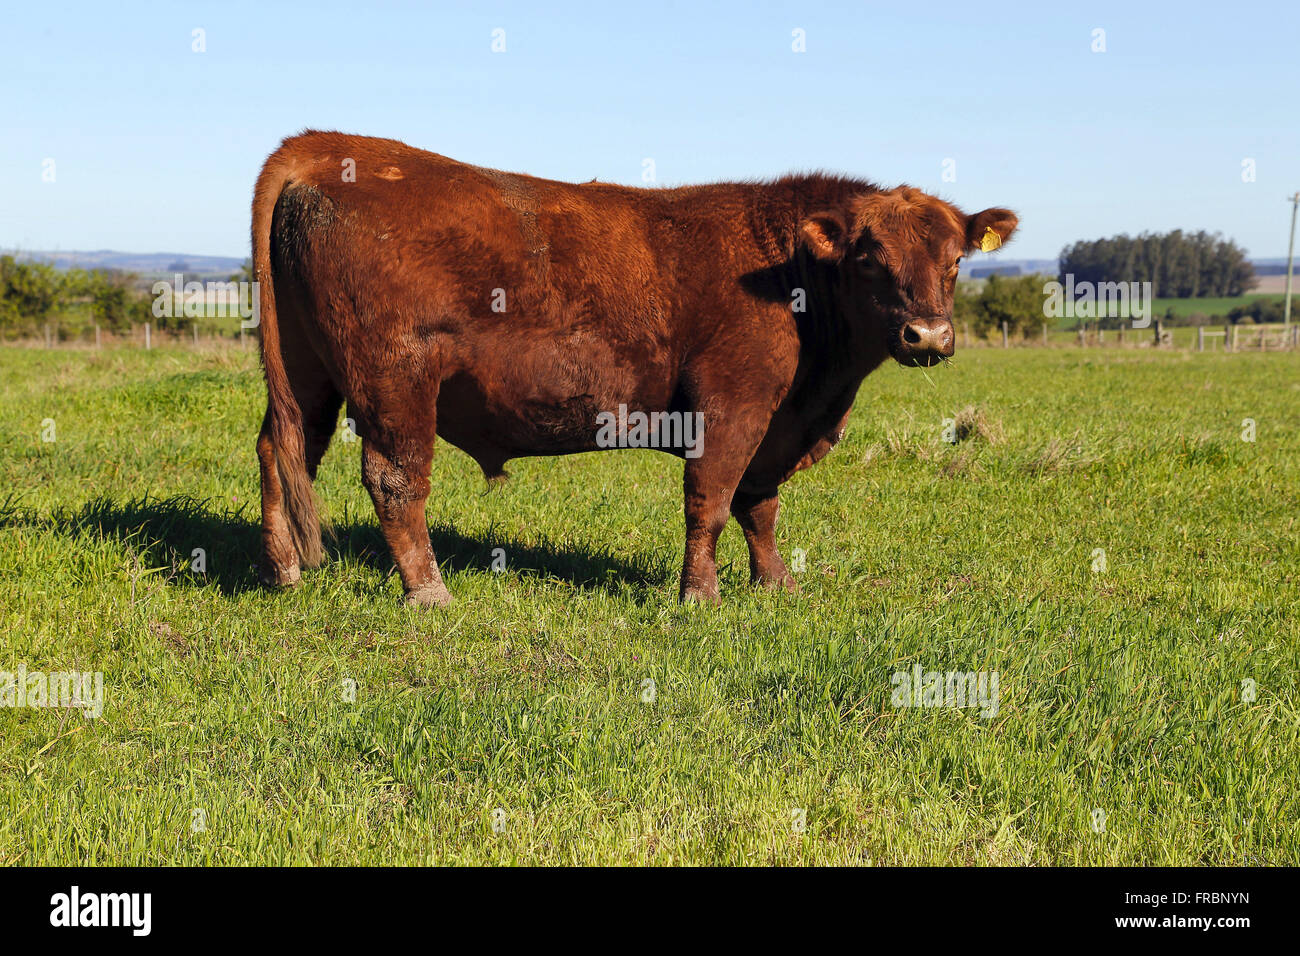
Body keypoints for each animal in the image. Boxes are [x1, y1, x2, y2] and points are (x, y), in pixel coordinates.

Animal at [252, 131, 1017, 606]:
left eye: (956, 260)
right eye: (869, 258)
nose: (929, 334)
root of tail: (329, 146)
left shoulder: (776, 424)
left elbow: (759, 505)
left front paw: (773, 584)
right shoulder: (732, 405)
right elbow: (712, 500)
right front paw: (700, 594)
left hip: (308, 373)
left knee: (282, 450)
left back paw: (285, 570)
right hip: (395, 379)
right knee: (395, 478)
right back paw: (428, 591)